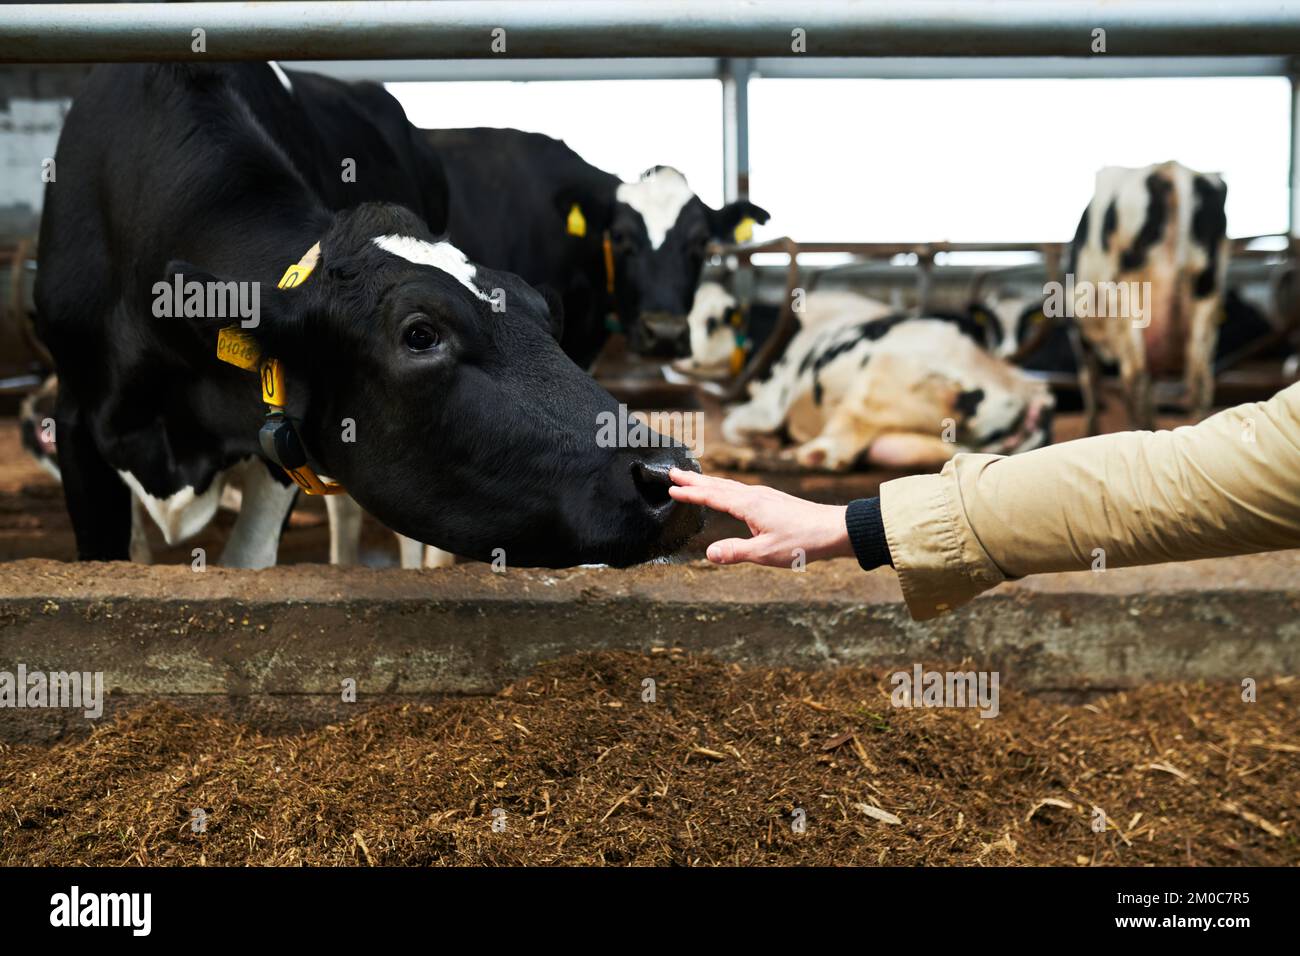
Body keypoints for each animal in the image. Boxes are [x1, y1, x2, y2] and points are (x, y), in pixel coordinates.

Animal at [685, 284, 1053, 471]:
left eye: (711, 320)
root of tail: (1025, 389)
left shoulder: (769, 402)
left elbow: (733, 424)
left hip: (879, 379)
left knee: (825, 454)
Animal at [1067, 161, 1229, 432]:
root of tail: (1168, 170)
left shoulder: (1078, 333)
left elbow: (1090, 381)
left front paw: (1091, 430)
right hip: (1207, 296)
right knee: (1199, 381)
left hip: (1128, 298)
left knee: (1134, 376)